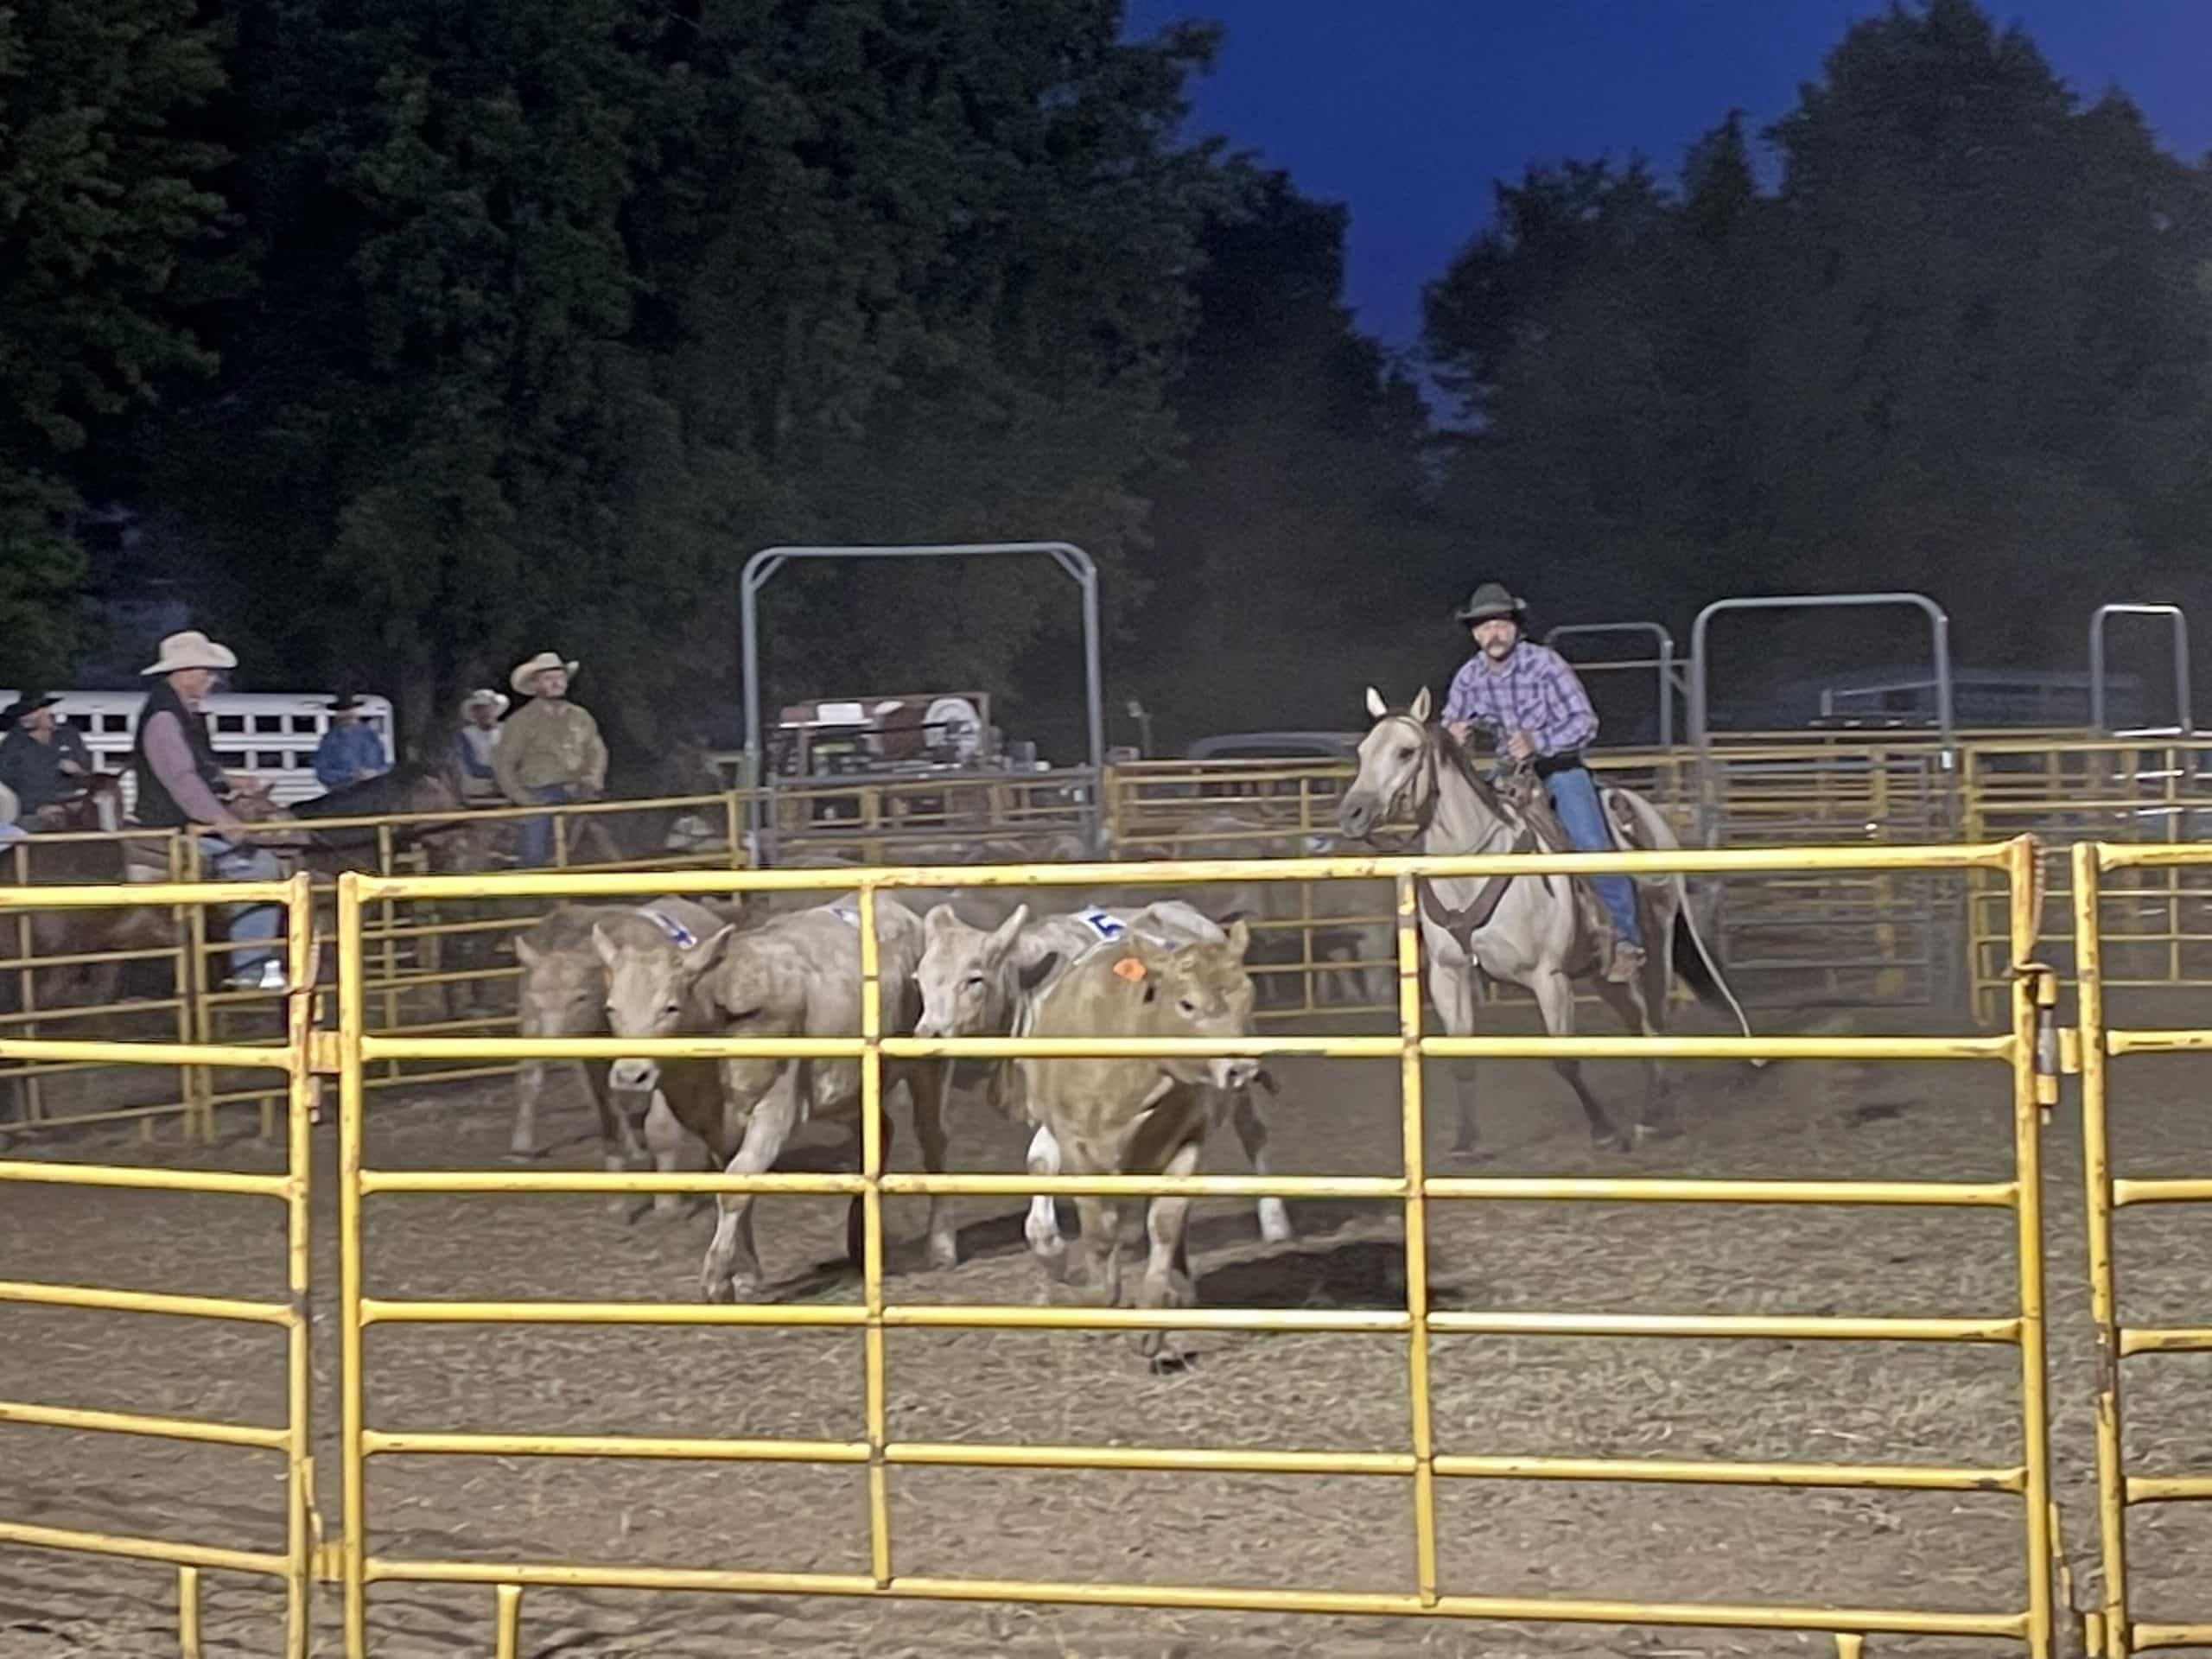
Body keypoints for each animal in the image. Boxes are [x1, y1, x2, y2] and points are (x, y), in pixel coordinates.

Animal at [1336, 687, 1751, 1158]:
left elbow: (1564, 1060)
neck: (1473, 869)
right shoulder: (1448, 975)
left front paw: (1604, 1130)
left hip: (1658, 938)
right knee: (1636, 1021)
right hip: (1602, 971)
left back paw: (1655, 1117)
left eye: (1406, 752)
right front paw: (1465, 1141)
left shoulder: (1547, 977)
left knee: (1657, 1021)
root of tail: (1649, 816)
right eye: (1364, 751)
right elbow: (1461, 1059)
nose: (1352, 813)